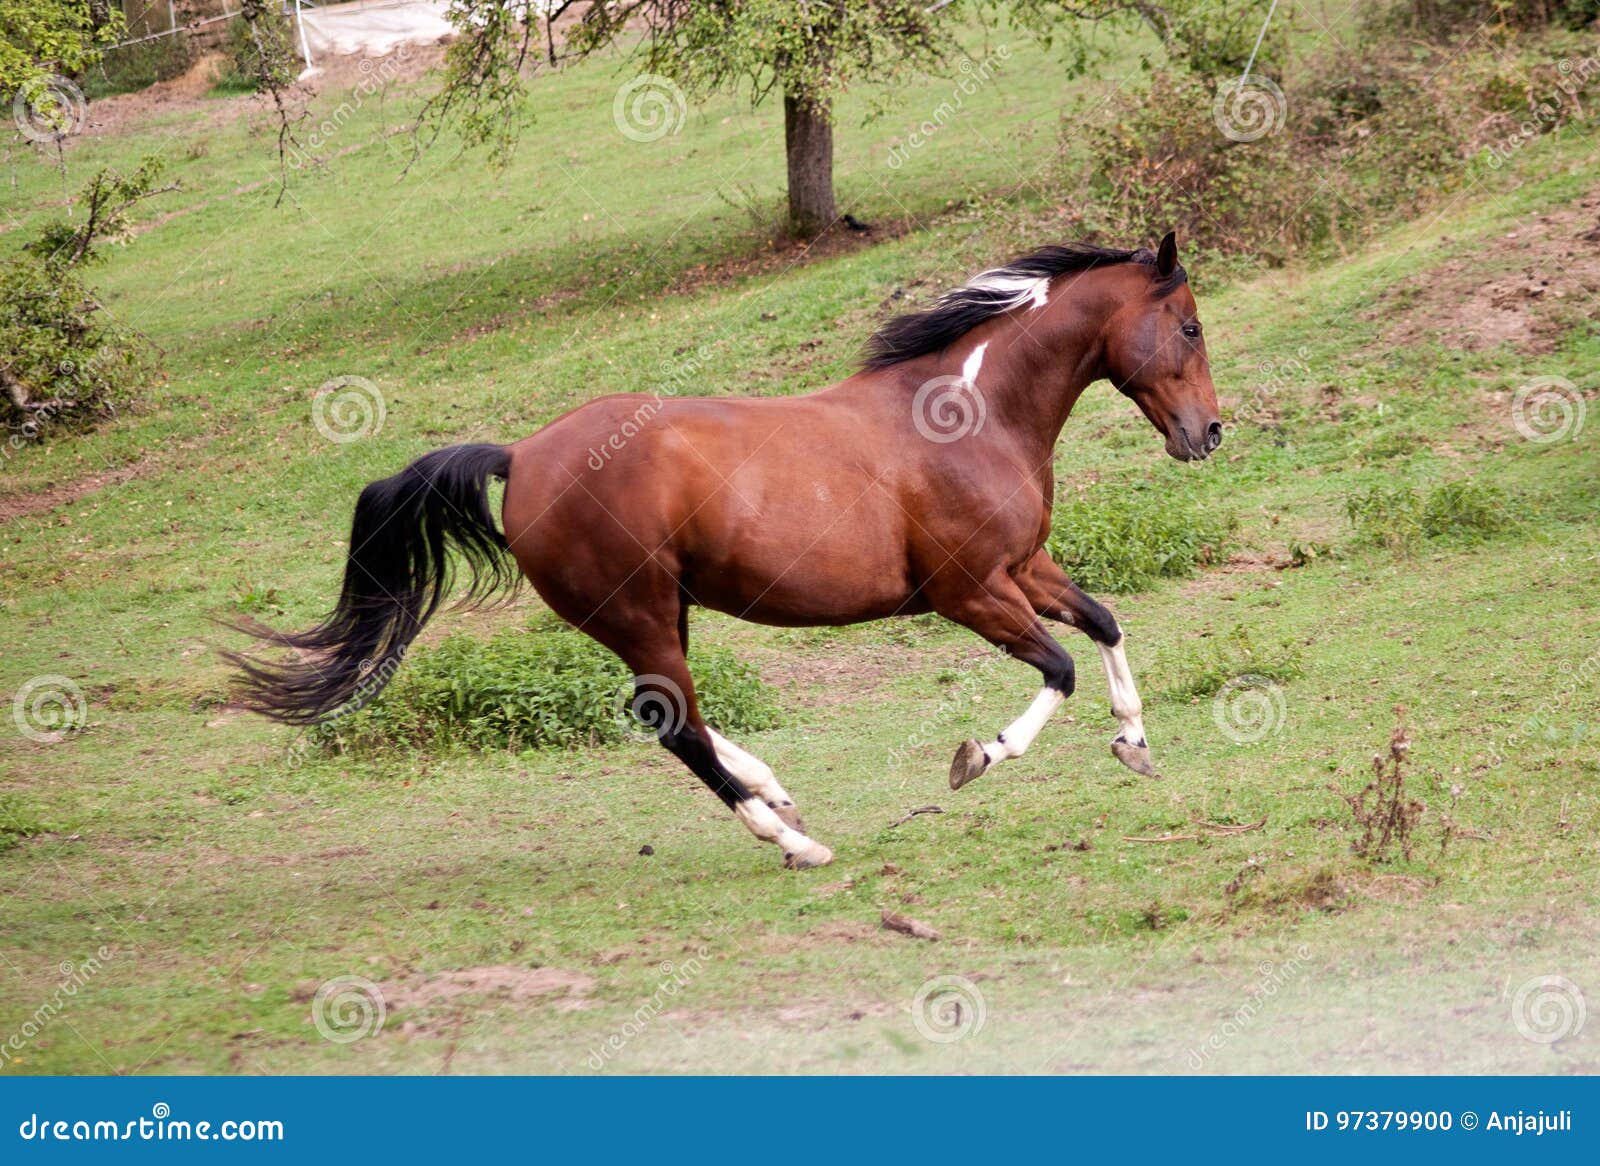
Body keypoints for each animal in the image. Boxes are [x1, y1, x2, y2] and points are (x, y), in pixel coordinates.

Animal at [228, 232, 1222, 871]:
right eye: (1191, 326)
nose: (1209, 433)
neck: (965, 413)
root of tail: (522, 456)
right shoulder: (970, 591)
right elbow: (1057, 669)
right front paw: (977, 756)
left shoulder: (1024, 570)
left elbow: (1104, 623)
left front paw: (1134, 744)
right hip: (639, 617)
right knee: (672, 723)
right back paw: (796, 841)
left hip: (662, 612)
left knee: (686, 719)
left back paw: (778, 796)